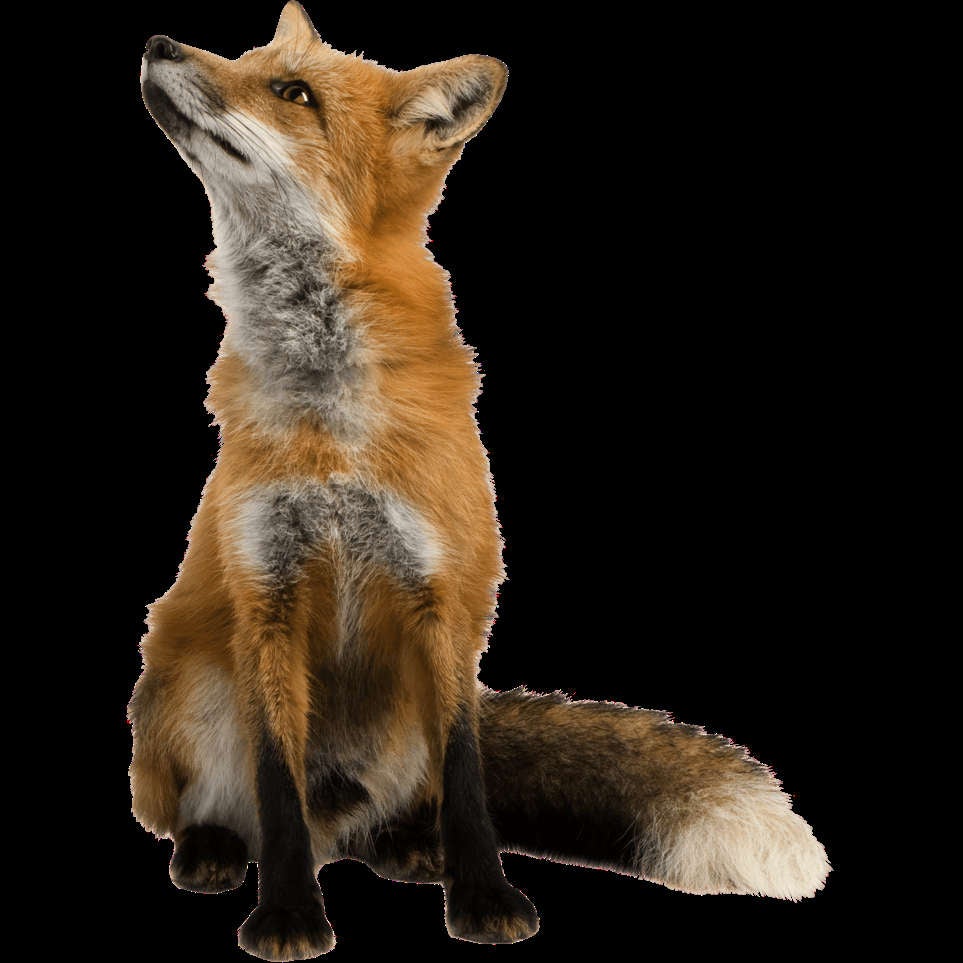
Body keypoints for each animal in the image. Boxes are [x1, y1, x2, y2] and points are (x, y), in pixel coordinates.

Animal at [130, 3, 830, 959]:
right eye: (246, 56)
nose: (159, 42)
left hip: (401, 719)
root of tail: (342, 819)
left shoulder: (445, 598)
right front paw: (288, 913)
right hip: (184, 684)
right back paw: (211, 849)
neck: (333, 424)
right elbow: (276, 784)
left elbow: (467, 777)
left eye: (291, 90)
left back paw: (406, 845)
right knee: (224, 810)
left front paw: (484, 898)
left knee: (399, 804)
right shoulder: (265, 595)